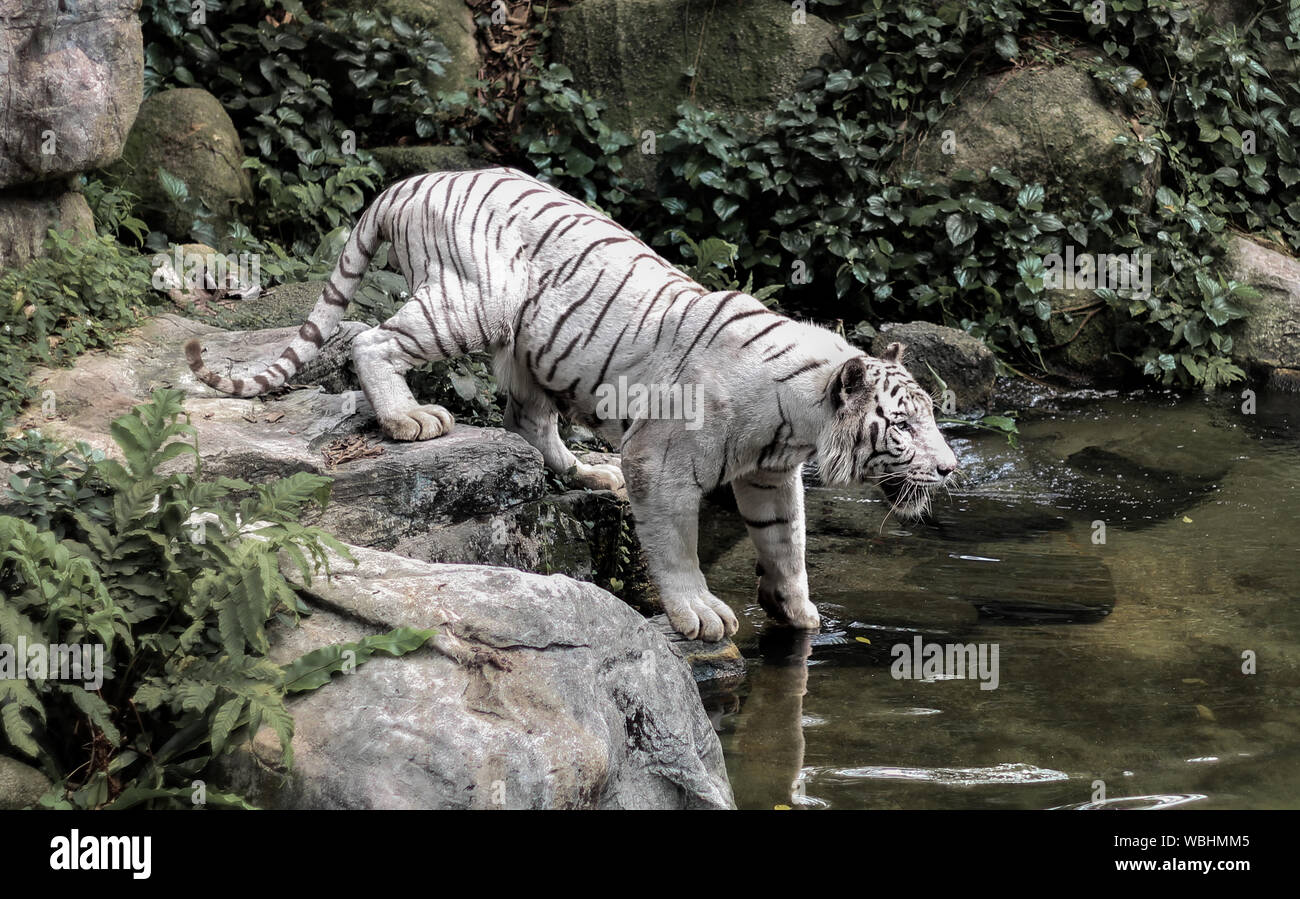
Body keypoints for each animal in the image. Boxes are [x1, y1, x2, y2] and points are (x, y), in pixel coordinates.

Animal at [185, 167, 958, 642]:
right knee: (370, 337)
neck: (795, 424)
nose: (951, 470)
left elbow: (787, 543)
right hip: (476, 303)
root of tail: (411, 179)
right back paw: (410, 418)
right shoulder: (663, 463)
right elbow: (677, 546)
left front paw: (798, 613)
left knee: (526, 418)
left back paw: (589, 472)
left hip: (531, 346)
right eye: (905, 424)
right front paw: (699, 612)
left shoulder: (770, 475)